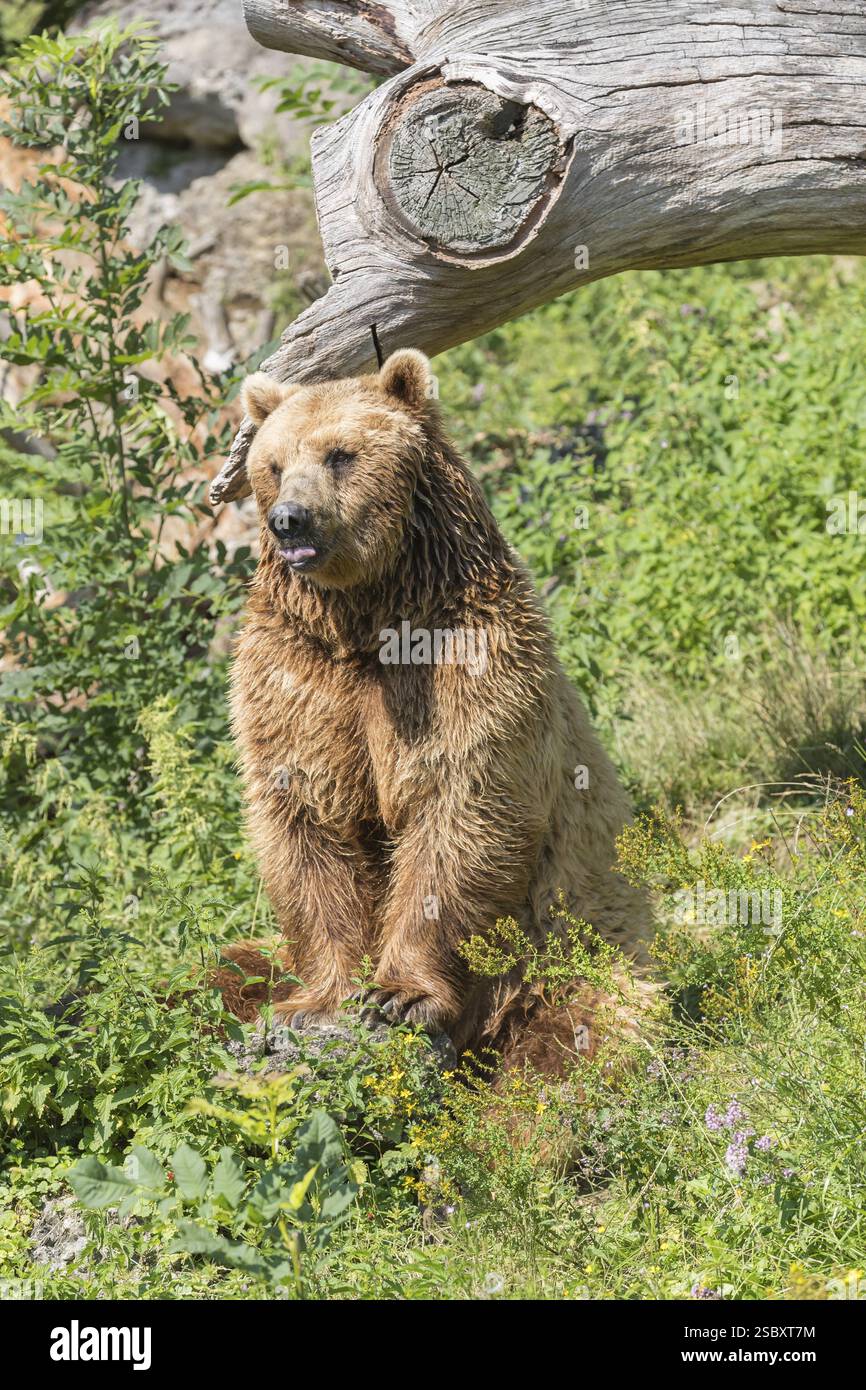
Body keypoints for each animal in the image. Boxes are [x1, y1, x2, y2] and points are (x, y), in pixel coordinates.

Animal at [227, 348, 650, 1056]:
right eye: (274, 463)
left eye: (341, 454)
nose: (290, 520)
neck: (370, 621)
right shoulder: (298, 678)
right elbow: (308, 821)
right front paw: (313, 1003)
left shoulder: (466, 667)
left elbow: (457, 813)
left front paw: (398, 997)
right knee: (221, 965)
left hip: (586, 942)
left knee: (600, 1014)